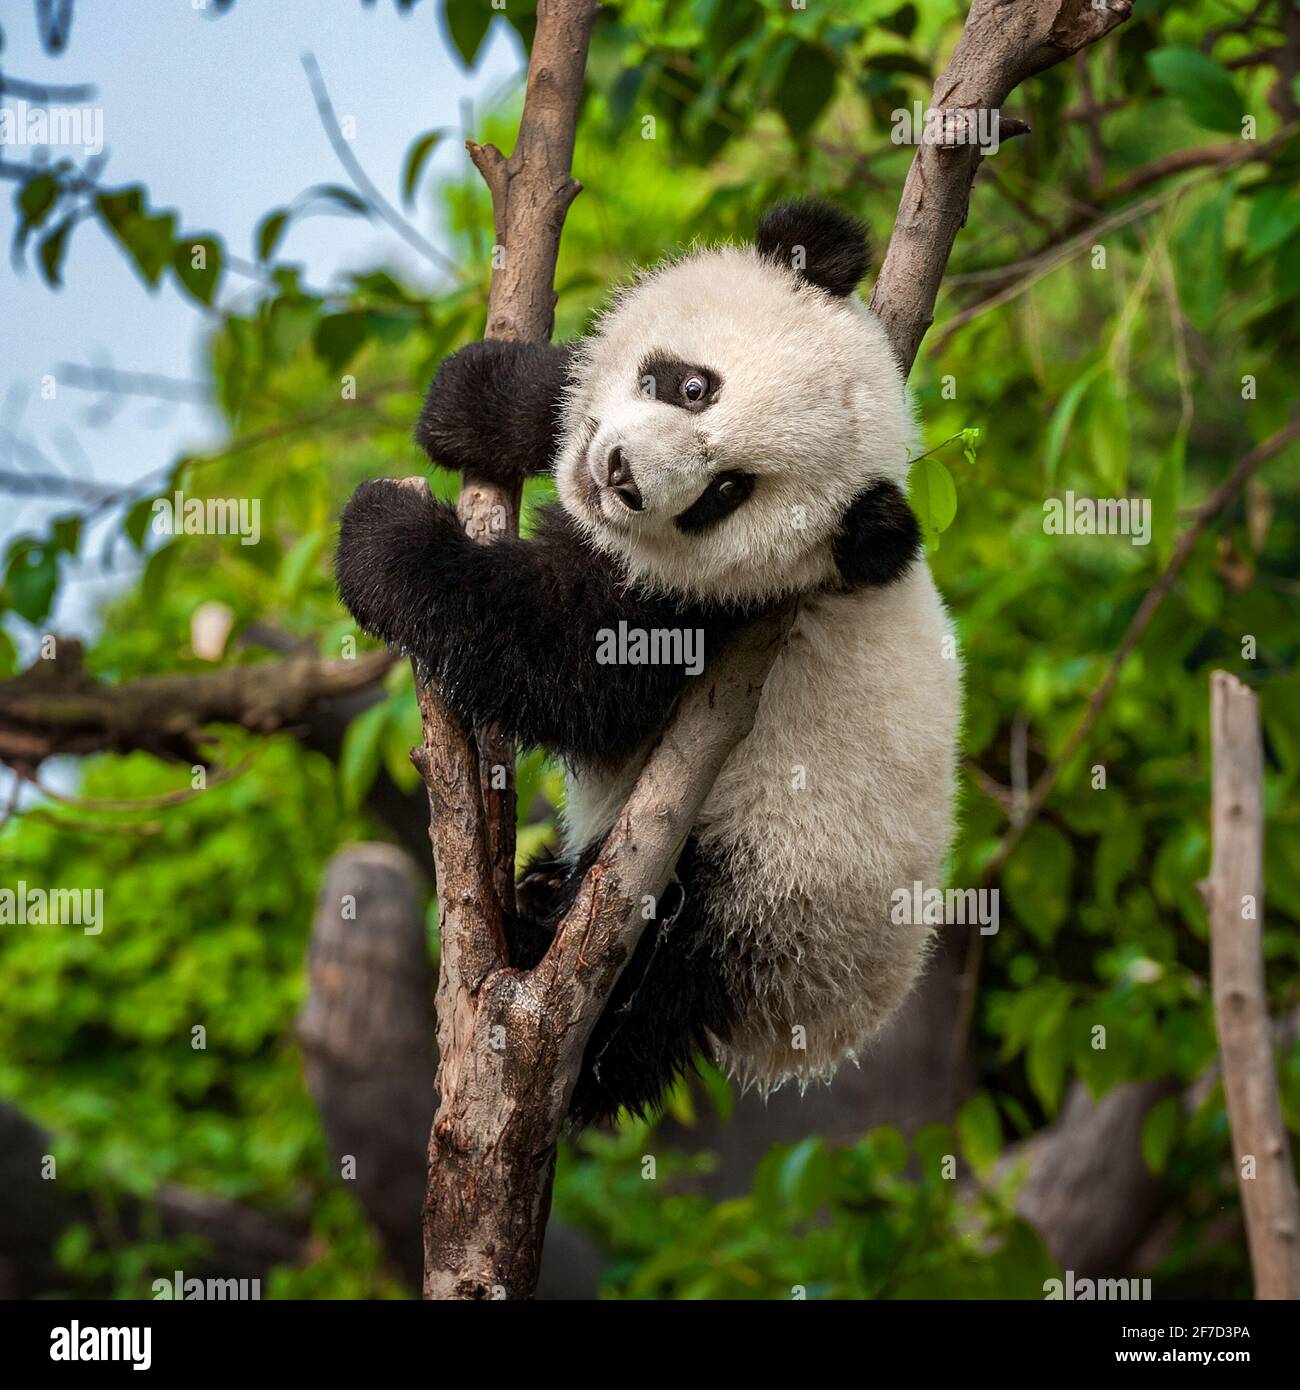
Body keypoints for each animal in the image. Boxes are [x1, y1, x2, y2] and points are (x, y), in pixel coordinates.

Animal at [336, 201, 962, 1126]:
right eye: (694, 386)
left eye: (726, 493)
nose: (623, 479)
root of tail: (818, 1028)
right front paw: (481, 396)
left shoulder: (708, 616)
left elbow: (565, 664)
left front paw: (383, 535)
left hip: (763, 882)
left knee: (658, 974)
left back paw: (547, 972)